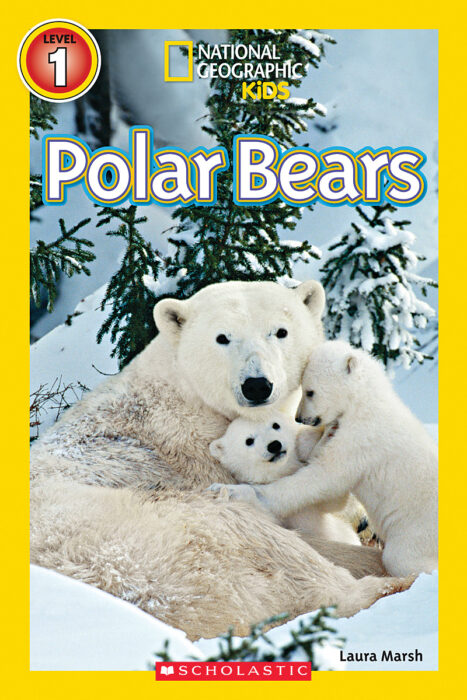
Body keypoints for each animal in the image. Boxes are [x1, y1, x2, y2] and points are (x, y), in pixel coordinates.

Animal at [209, 412, 361, 546]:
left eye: (275, 425)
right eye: (249, 441)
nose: (274, 445)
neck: (279, 473)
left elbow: (334, 502)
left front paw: (328, 434)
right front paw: (226, 490)